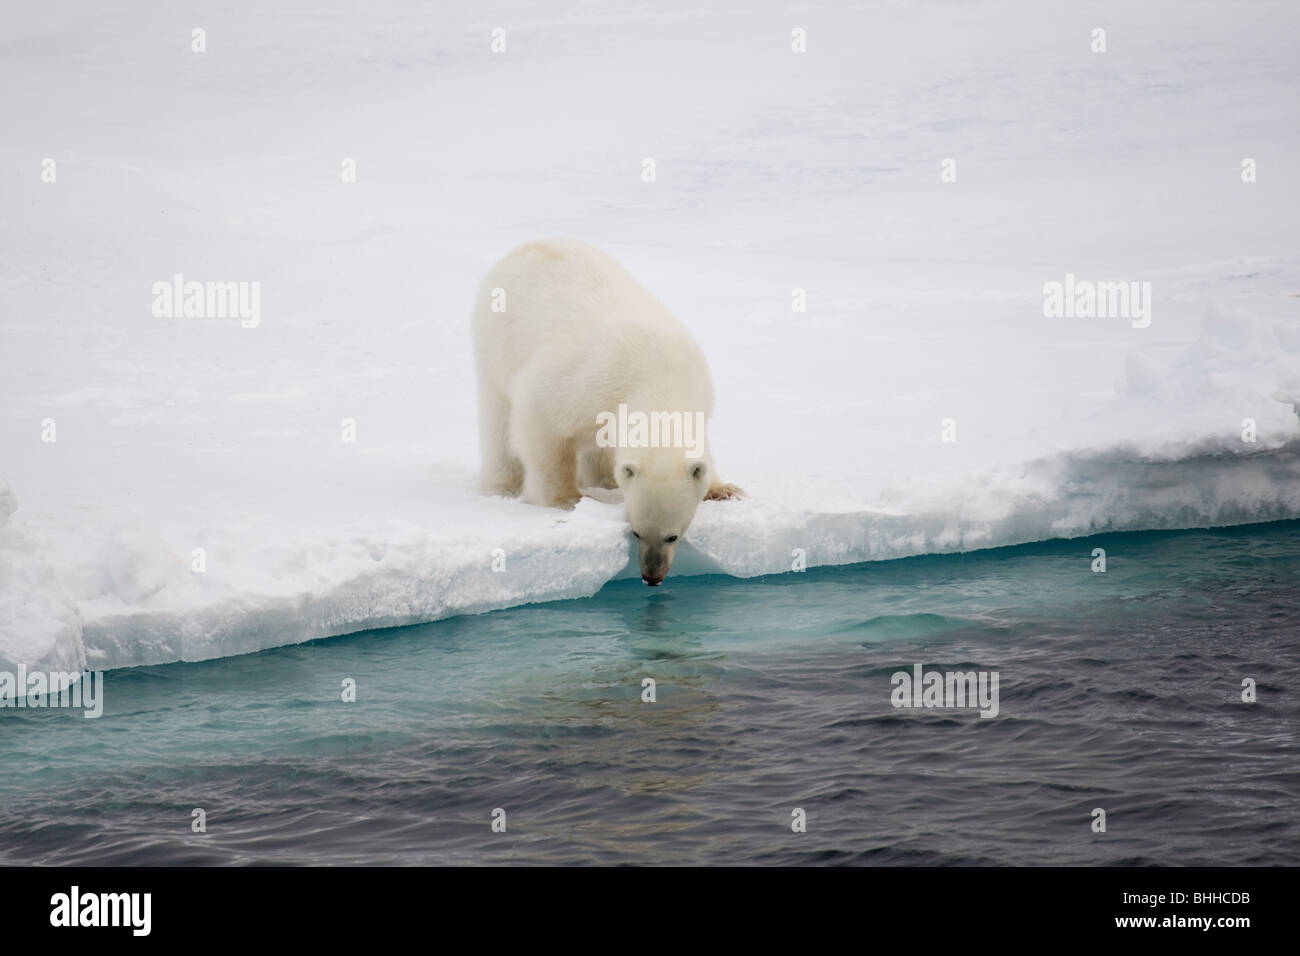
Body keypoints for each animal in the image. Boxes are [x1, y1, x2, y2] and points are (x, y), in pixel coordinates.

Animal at [471, 239, 742, 585]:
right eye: (637, 532)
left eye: (673, 536)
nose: (651, 575)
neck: (662, 374)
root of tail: (530, 246)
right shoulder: (590, 378)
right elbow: (539, 416)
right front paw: (568, 498)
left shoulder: (699, 387)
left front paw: (725, 490)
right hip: (497, 336)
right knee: (498, 418)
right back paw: (503, 485)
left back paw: (605, 481)